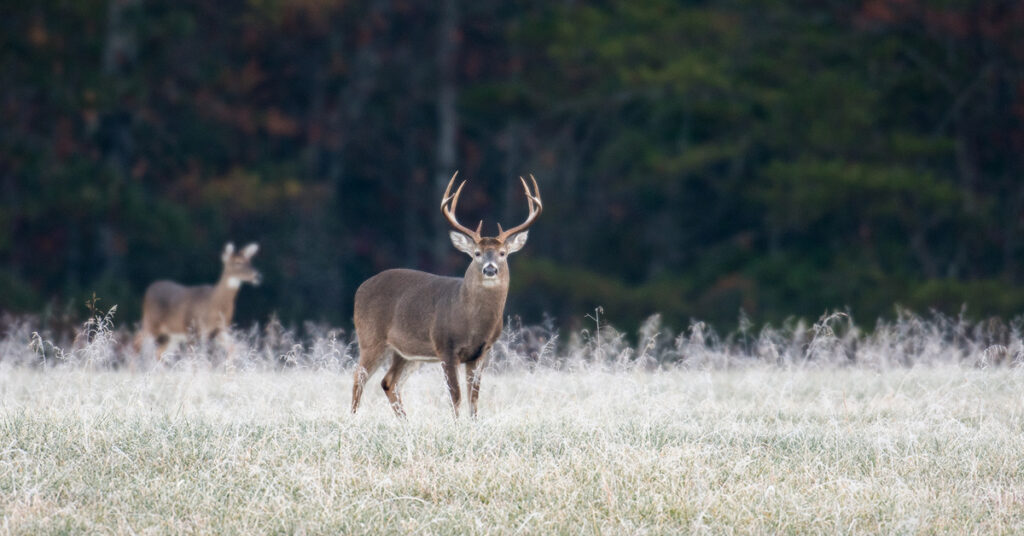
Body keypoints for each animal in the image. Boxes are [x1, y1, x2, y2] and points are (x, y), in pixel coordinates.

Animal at [351, 172, 541, 418]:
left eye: (503, 253)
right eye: (476, 253)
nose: (490, 269)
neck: (471, 321)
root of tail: (359, 289)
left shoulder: (481, 352)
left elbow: (474, 399)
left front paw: (473, 423)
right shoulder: (446, 346)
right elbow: (456, 397)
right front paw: (457, 424)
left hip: (407, 352)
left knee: (389, 382)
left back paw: (406, 423)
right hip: (371, 337)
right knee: (359, 378)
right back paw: (353, 419)